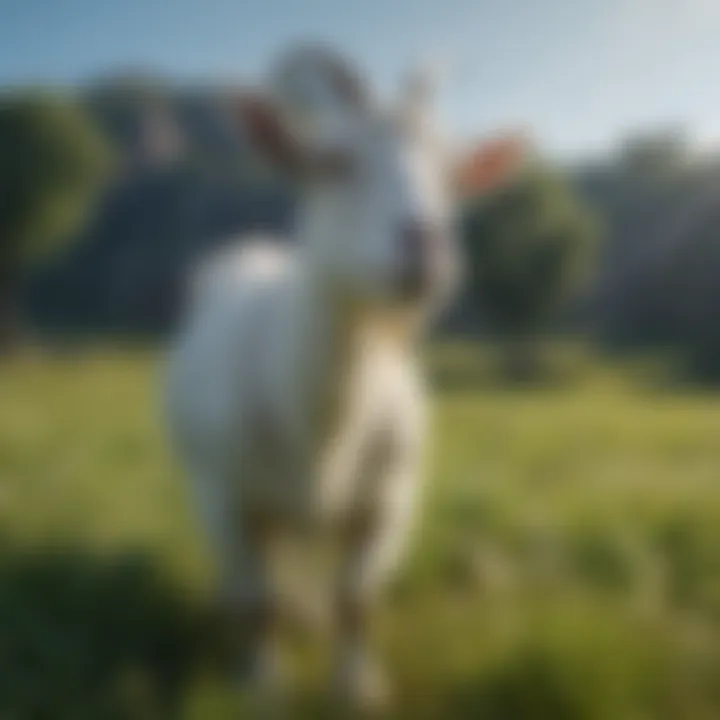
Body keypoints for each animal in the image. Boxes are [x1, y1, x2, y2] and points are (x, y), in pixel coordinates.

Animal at [165, 46, 462, 716]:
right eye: (332, 161)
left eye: (447, 173)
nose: (427, 248)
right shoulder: (228, 495)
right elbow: (257, 603)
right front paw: (262, 685)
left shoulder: (388, 500)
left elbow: (357, 601)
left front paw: (357, 687)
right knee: (259, 575)